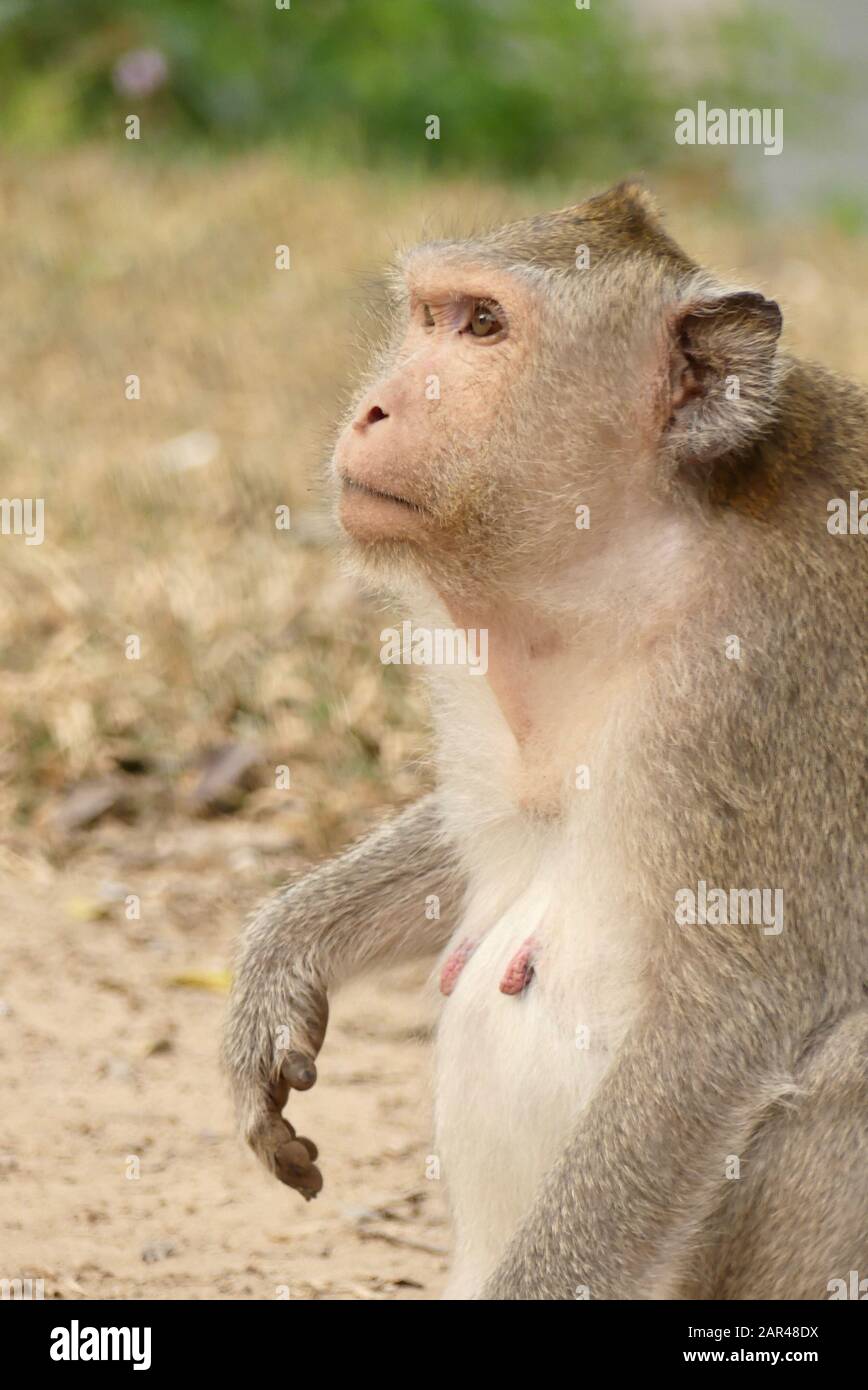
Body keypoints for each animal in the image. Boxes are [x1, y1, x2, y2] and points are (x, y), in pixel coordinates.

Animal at [223, 182, 867, 1300]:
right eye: (429, 316)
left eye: (485, 325)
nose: (375, 407)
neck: (645, 559)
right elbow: (477, 830)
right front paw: (284, 952)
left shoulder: (771, 681)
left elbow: (722, 1029)